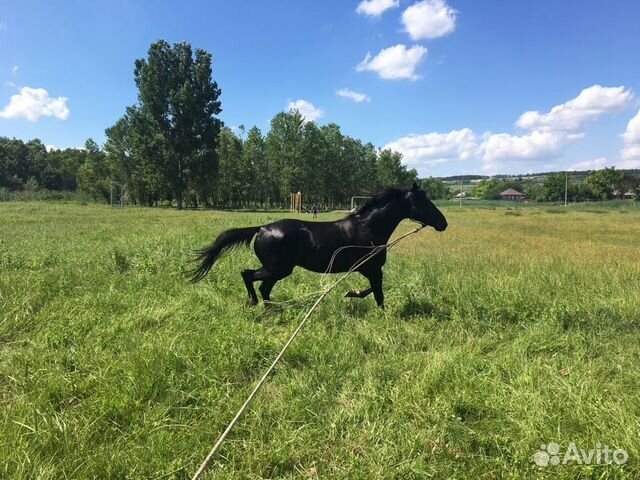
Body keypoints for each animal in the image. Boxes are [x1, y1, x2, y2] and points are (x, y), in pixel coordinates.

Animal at [190, 183, 447, 308]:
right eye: (423, 202)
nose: (443, 223)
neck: (368, 227)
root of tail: (262, 228)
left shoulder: (367, 270)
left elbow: (372, 291)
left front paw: (351, 293)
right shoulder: (373, 269)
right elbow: (378, 294)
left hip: (277, 270)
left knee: (261, 285)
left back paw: (270, 308)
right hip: (278, 269)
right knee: (249, 277)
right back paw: (258, 304)